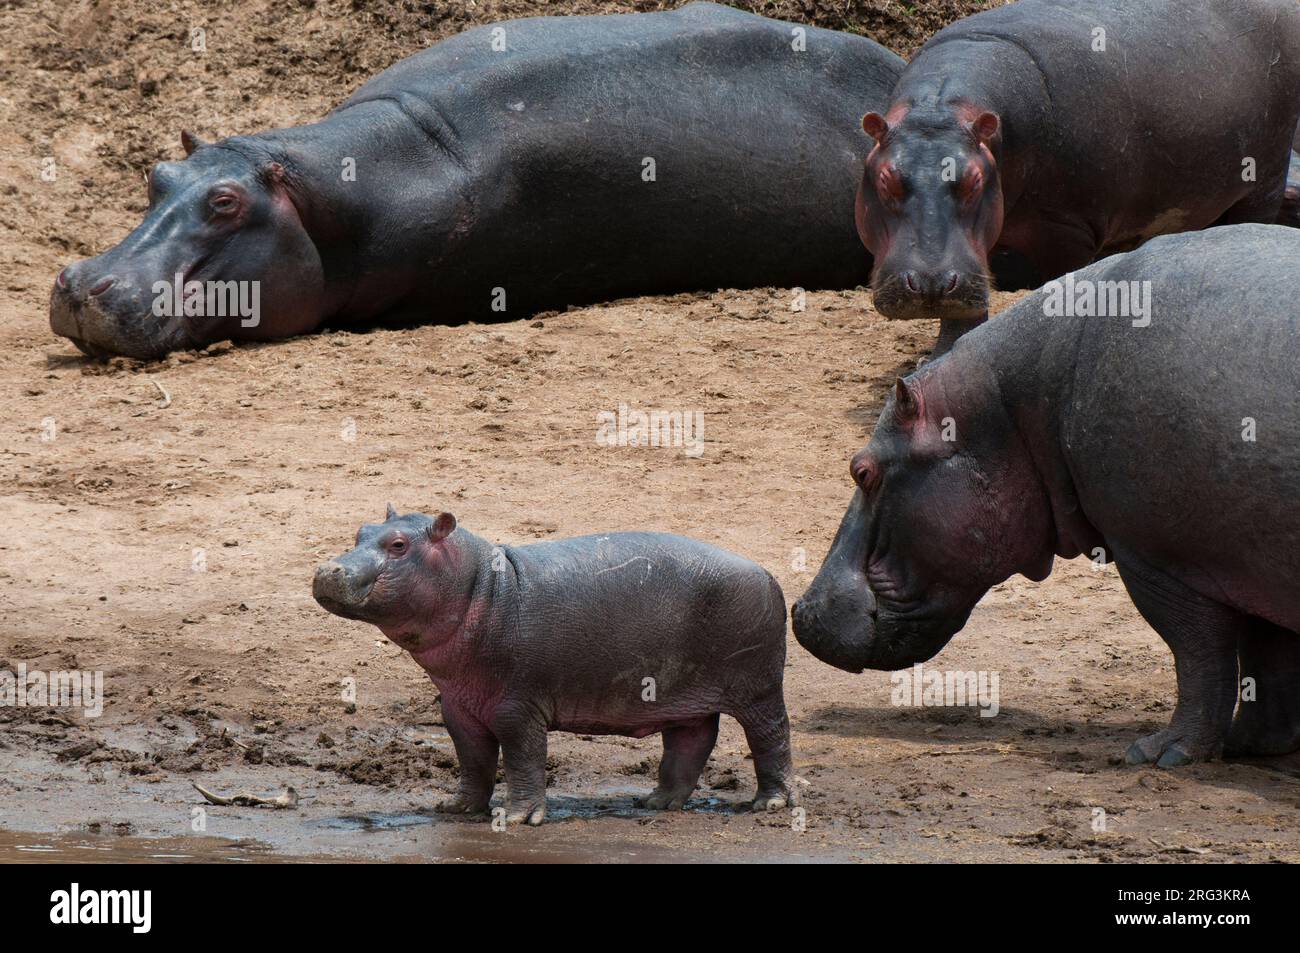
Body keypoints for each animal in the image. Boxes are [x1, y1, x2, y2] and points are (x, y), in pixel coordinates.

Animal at [313, 507, 797, 824]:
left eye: (398, 544)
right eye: (360, 530)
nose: (326, 570)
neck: (479, 585)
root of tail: (767, 574)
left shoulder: (517, 707)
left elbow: (523, 758)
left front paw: (516, 817)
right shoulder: (458, 707)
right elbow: (472, 759)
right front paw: (457, 808)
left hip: (758, 688)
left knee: (771, 737)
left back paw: (769, 804)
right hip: (681, 697)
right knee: (691, 741)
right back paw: (655, 803)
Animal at [793, 224, 1300, 767]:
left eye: (861, 471)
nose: (800, 610)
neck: (1016, 404)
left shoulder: (1161, 560)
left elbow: (1199, 656)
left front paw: (1158, 753)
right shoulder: (1247, 559)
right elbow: (1268, 659)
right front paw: (1253, 747)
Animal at [855, 0, 1300, 354]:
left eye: (975, 181)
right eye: (885, 178)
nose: (929, 283)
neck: (943, 109)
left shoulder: (1066, 233)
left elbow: (1061, 291)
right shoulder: (975, 250)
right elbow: (961, 314)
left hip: (1265, 176)